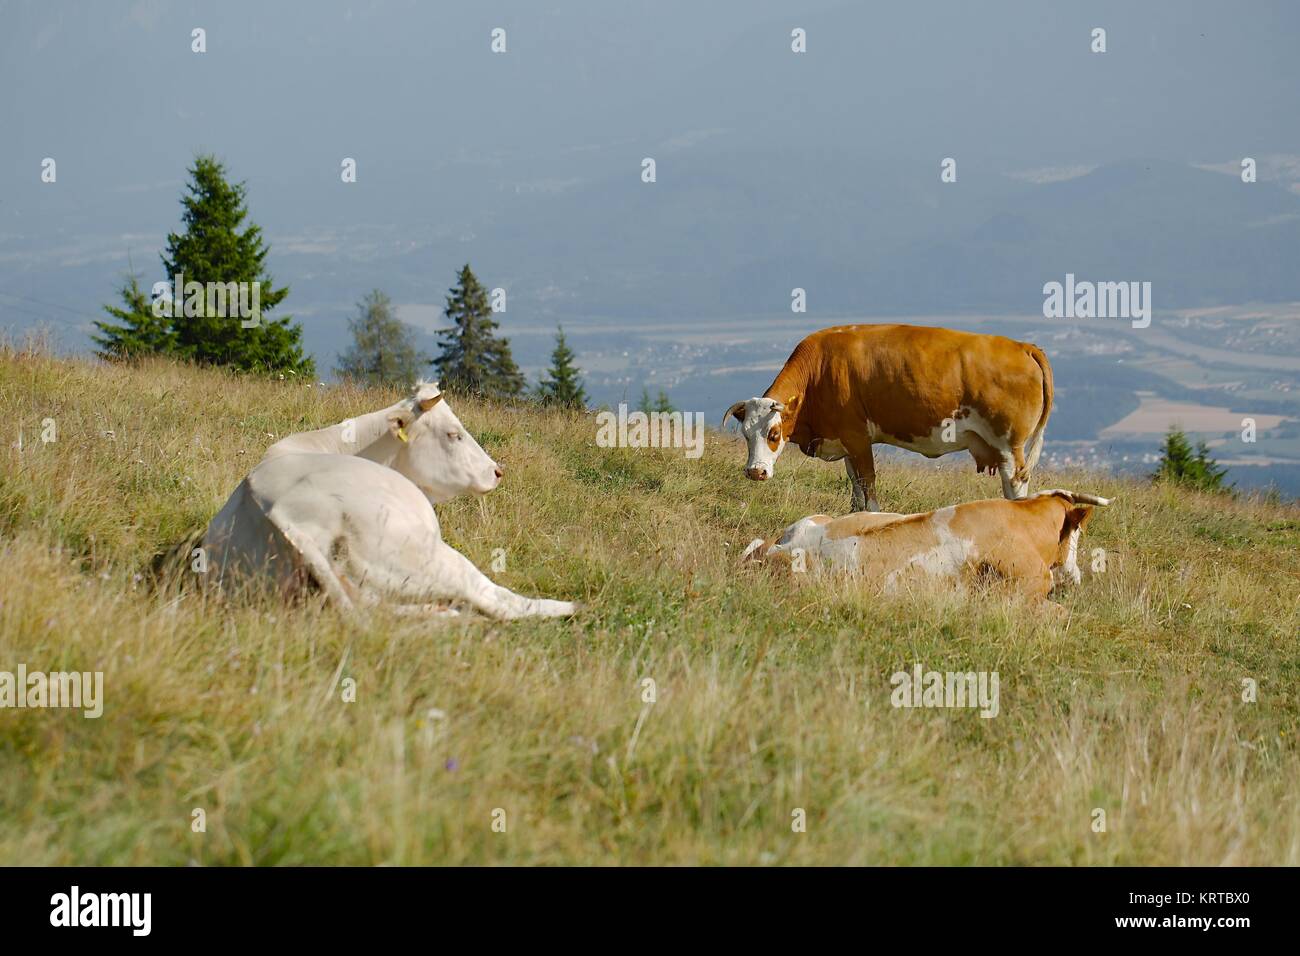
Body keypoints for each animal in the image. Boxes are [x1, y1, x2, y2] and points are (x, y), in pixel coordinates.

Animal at [199, 382, 577, 619]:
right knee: (499, 601)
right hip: (428, 555)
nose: (496, 471)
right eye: (453, 433)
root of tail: (285, 515)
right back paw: (565, 608)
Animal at [724, 324, 1054, 512]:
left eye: (774, 433)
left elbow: (869, 489)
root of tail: (1023, 347)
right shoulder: (845, 440)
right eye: (745, 435)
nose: (755, 472)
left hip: (1009, 446)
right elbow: (856, 487)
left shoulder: (858, 438)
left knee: (1015, 483)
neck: (818, 372)